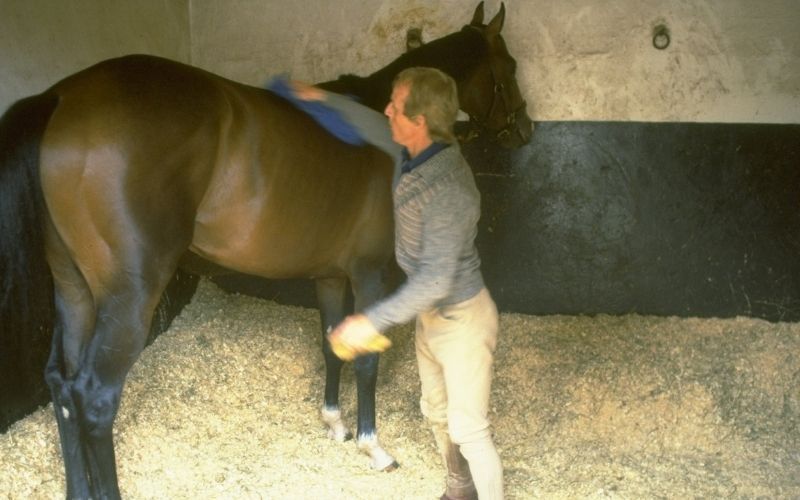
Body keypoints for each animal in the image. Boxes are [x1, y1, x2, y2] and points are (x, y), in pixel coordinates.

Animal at [0, 2, 530, 498]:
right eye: (510, 65)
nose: (523, 129)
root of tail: (62, 96)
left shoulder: (330, 276)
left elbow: (331, 345)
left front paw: (334, 423)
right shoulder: (369, 272)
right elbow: (365, 359)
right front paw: (372, 446)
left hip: (74, 289)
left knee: (62, 387)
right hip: (129, 298)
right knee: (94, 399)